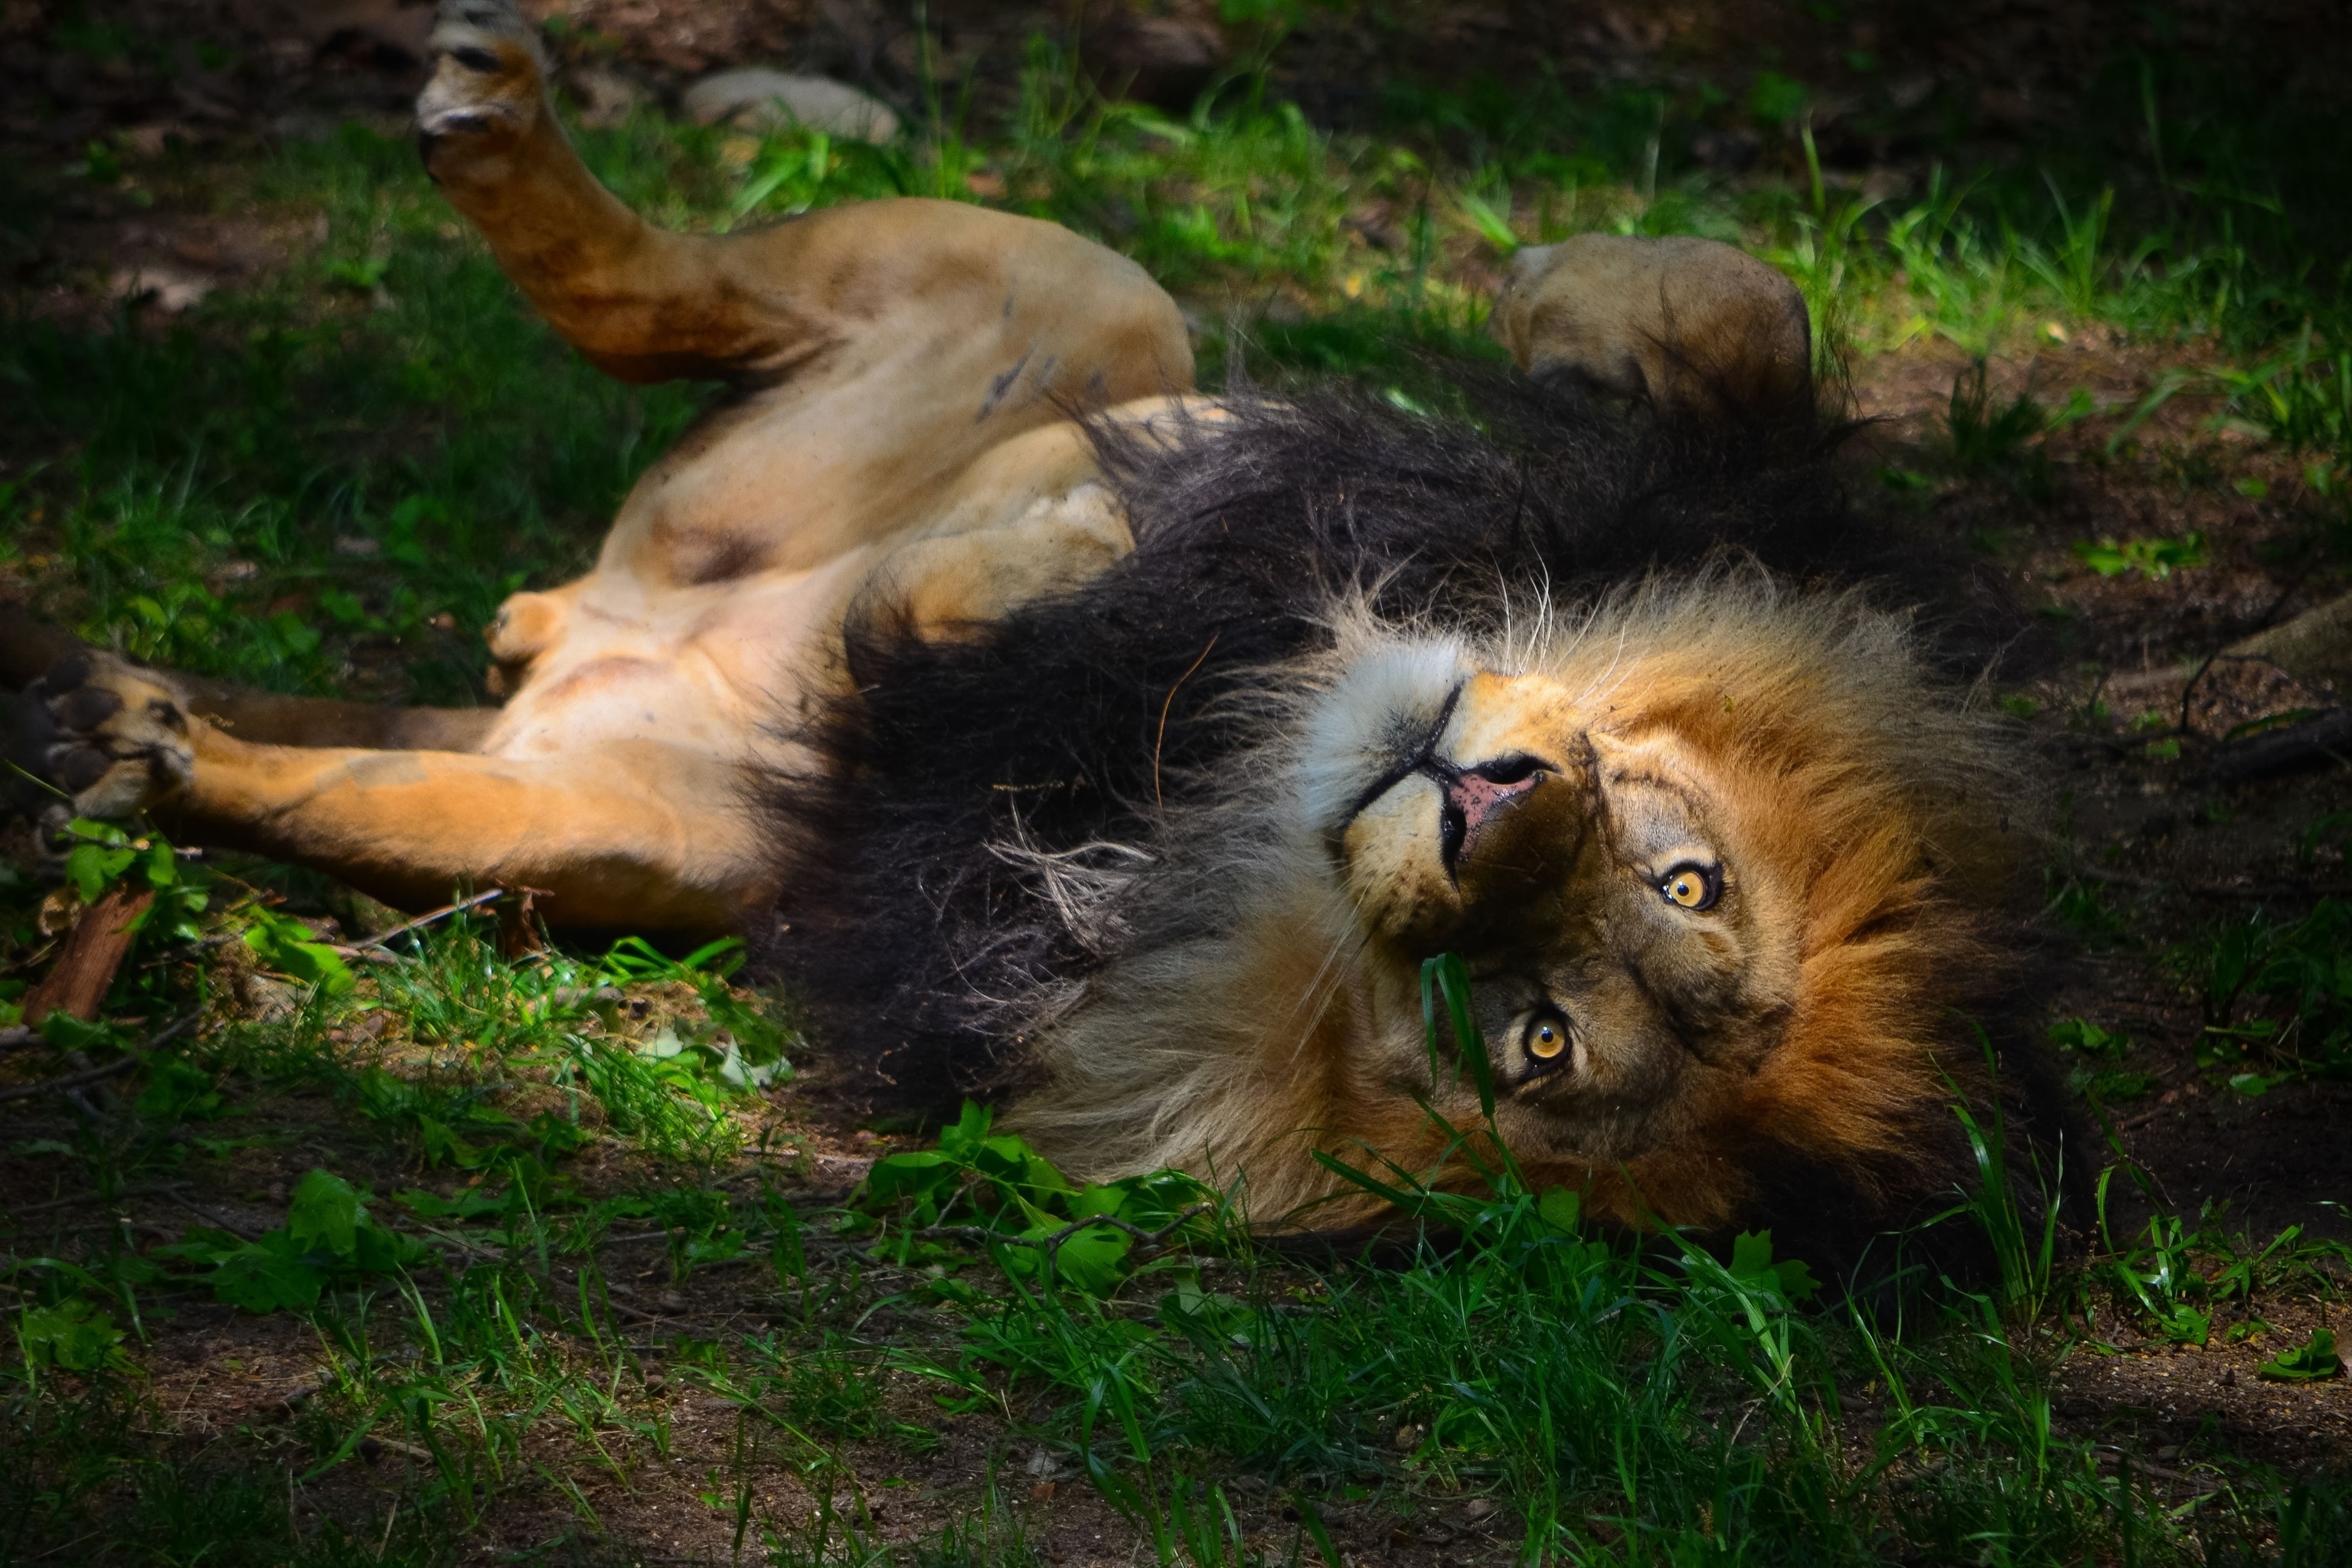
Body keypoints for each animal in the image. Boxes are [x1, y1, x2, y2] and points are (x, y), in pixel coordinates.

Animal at [1, 0, 2068, 1256]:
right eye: (1683, 876)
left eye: (1537, 1040)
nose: (1481, 806)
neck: (1231, 792)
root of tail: (579, 635)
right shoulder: (1675, 506)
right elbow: (1747, 312)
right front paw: (1555, 276)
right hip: (1085, 288)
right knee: (673, 288)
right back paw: (490, 110)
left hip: (608, 837)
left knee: (326, 780)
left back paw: (123, 743)